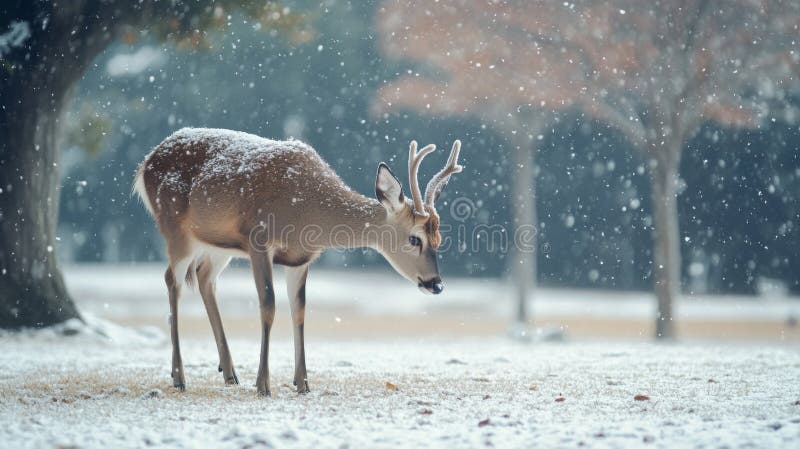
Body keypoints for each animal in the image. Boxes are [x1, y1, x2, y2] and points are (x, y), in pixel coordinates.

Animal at [133, 128, 463, 396]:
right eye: (414, 239)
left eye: (439, 238)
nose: (436, 284)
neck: (306, 209)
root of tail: (145, 163)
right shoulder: (258, 239)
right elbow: (268, 305)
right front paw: (263, 384)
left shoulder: (301, 259)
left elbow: (300, 310)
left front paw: (302, 383)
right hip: (174, 227)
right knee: (172, 280)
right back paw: (179, 376)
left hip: (217, 245)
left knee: (204, 279)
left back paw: (229, 372)